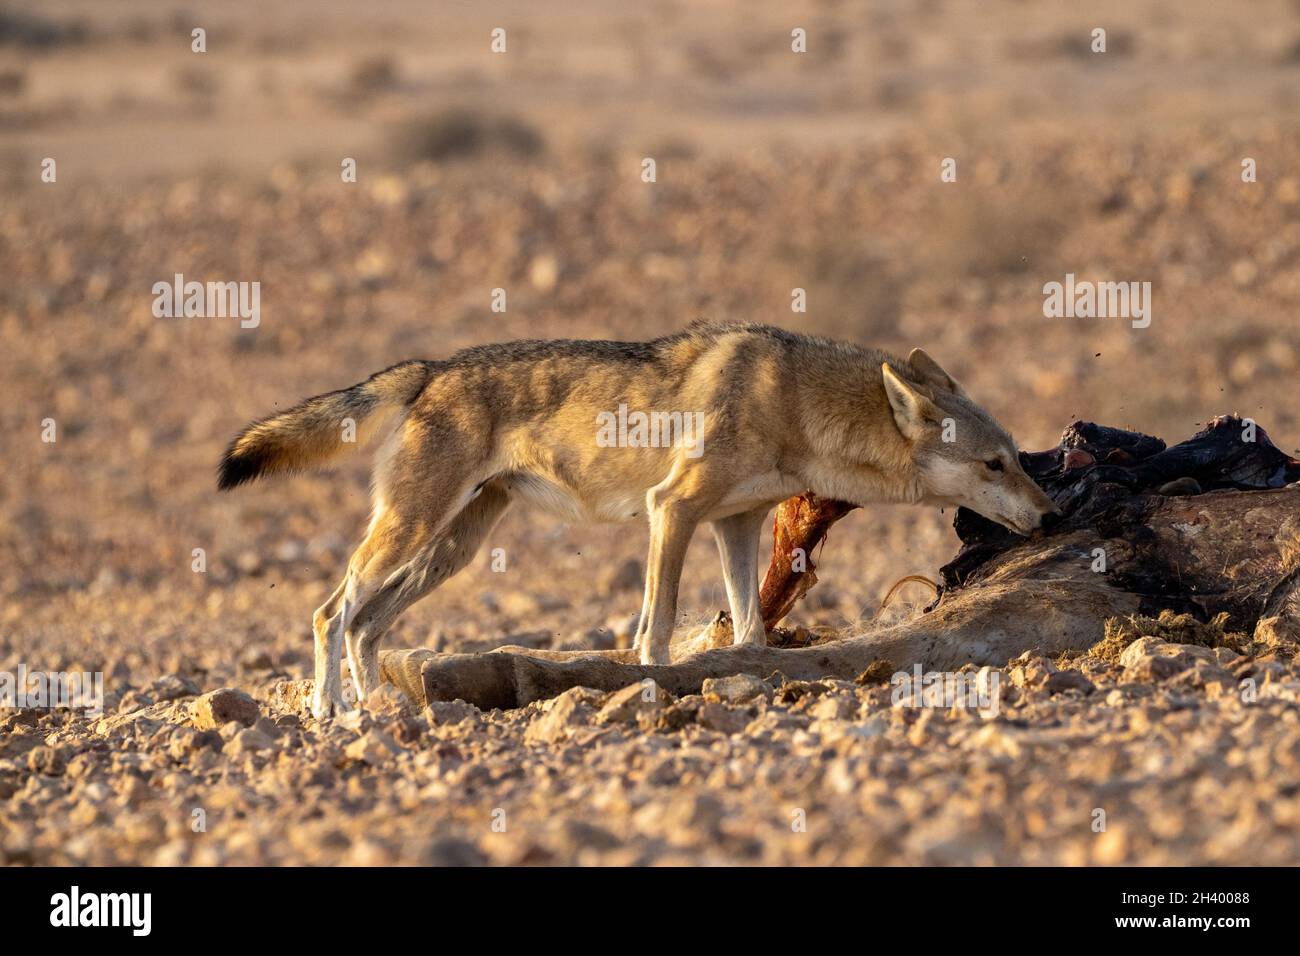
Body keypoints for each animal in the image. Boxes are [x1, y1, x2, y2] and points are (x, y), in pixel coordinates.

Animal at [218, 321, 1060, 717]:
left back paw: (375, 706)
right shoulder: (673, 510)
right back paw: (332, 710)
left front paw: (750, 675)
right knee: (331, 611)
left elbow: (750, 630)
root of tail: (430, 369)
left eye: (1017, 458)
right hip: (413, 533)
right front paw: (653, 688)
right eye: (995, 465)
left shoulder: (737, 525)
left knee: (366, 624)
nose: (1052, 515)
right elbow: (654, 630)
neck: (795, 401)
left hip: (450, 548)